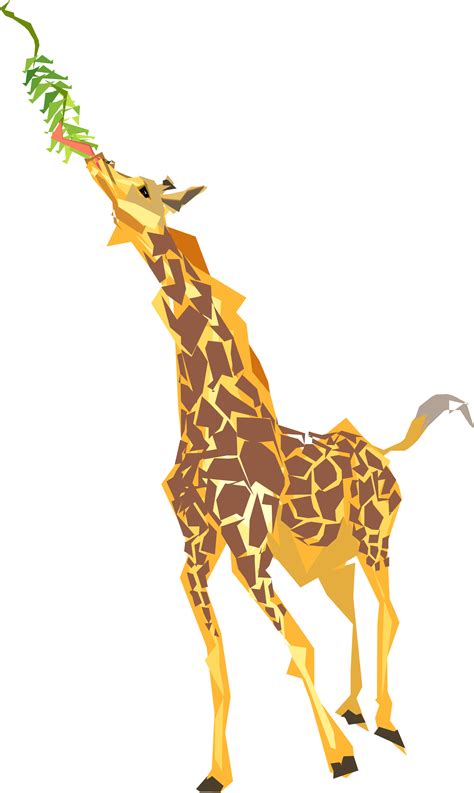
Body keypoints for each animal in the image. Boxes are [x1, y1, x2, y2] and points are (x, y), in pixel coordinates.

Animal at [82, 152, 472, 791]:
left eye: (142, 188)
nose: (97, 159)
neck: (207, 418)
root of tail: (386, 452)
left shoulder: (248, 550)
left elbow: (299, 646)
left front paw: (340, 759)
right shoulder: (196, 553)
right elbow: (219, 662)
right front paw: (216, 774)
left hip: (375, 540)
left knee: (389, 614)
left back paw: (387, 726)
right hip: (335, 562)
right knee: (356, 615)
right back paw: (354, 709)